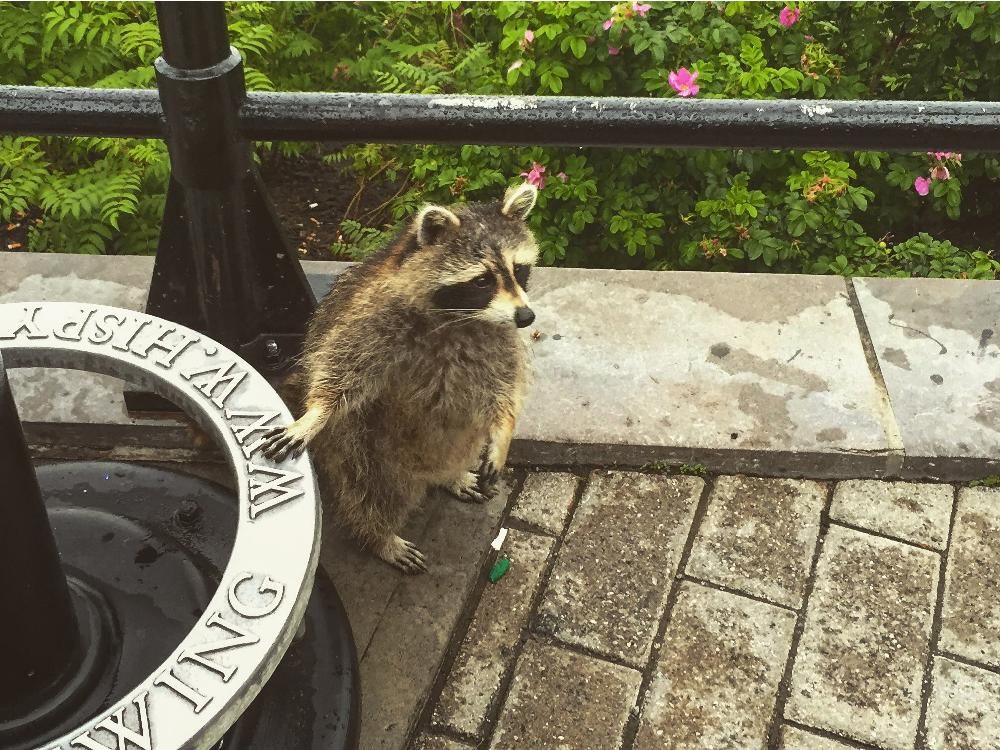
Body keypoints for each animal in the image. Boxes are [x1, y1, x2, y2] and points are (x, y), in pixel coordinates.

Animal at [262, 182, 539, 573]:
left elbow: (503, 387)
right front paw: (315, 414)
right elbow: (340, 368)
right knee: (369, 490)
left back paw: (451, 474)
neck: (459, 317)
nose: (526, 317)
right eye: (483, 280)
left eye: (519, 269)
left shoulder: (496, 339)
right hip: (361, 445)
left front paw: (504, 431)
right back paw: (379, 536)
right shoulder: (374, 319)